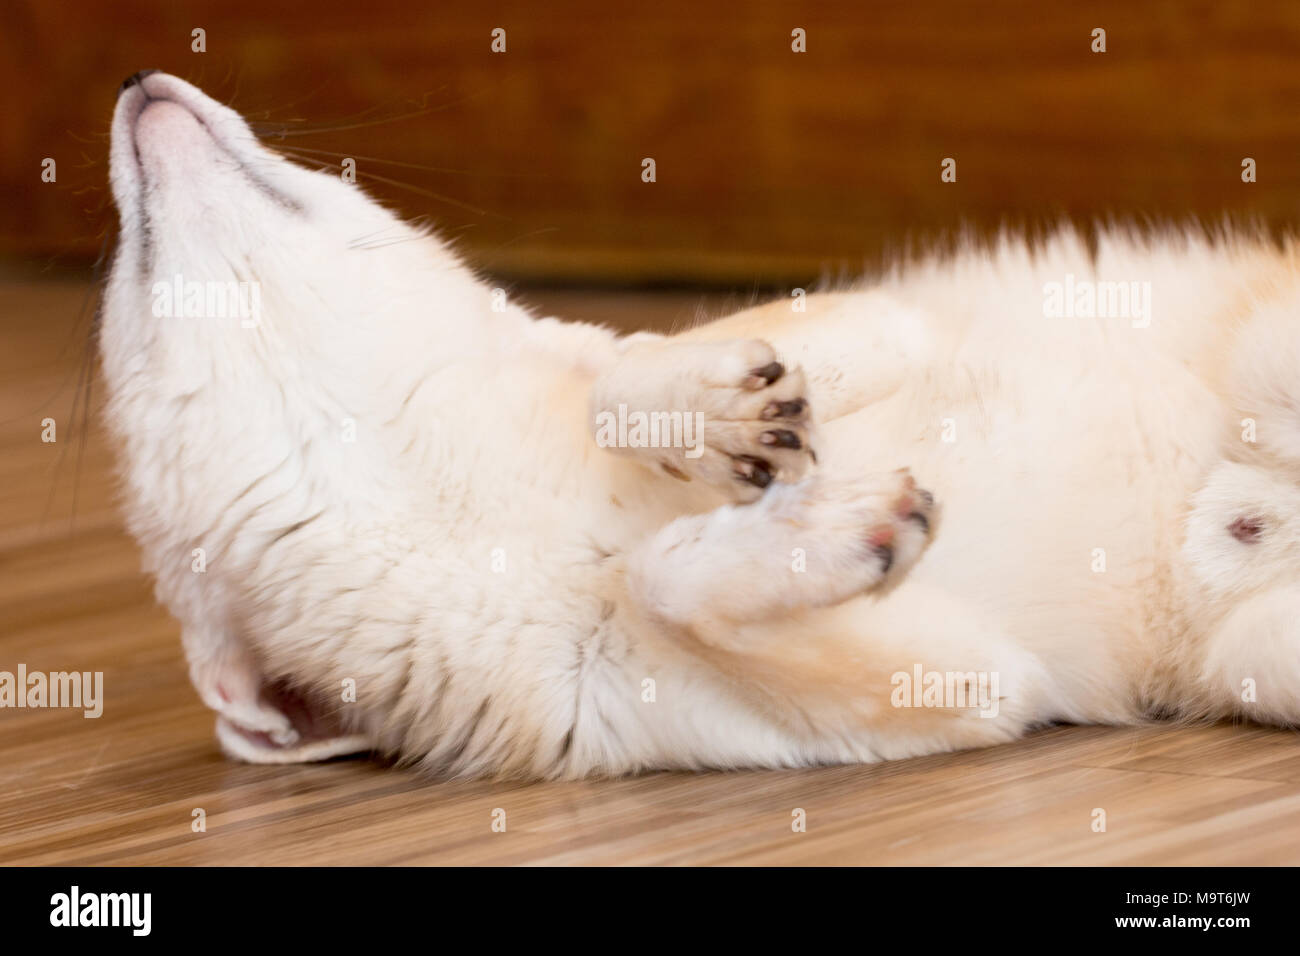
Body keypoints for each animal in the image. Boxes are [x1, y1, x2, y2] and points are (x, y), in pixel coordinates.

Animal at [100, 70, 1300, 778]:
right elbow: (664, 578)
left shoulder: (888, 317)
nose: (133, 80)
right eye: (132, 270)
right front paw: (834, 532)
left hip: (1265, 360)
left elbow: (621, 386)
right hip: (1258, 661)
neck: (488, 498)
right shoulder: (972, 682)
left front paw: (718, 423)